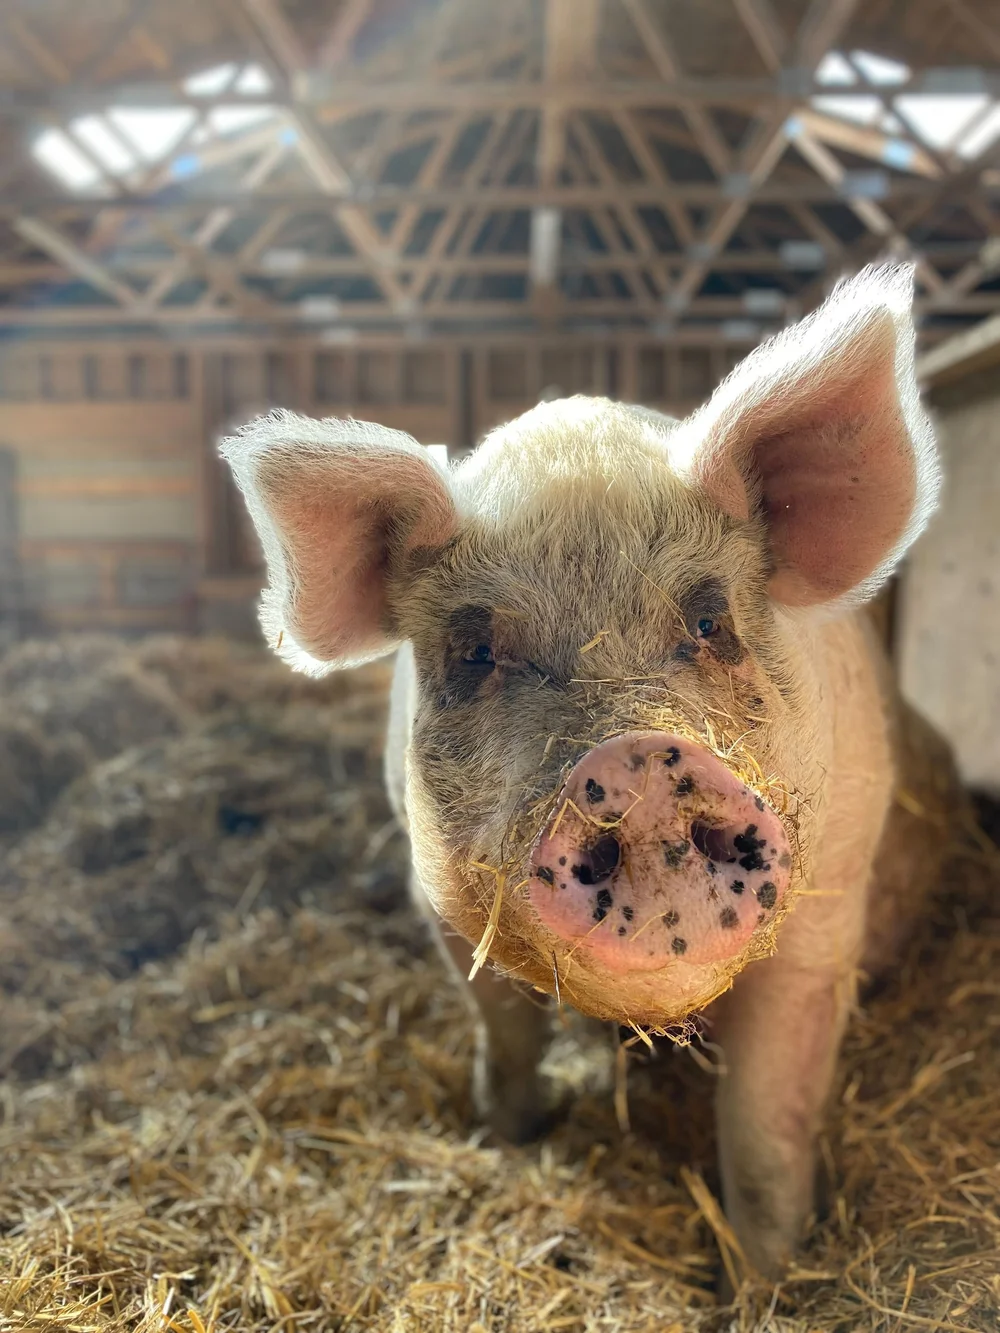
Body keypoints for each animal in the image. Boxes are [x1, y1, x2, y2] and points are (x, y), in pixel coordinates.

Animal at [220, 263, 964, 1281]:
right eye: (476, 650)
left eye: (709, 620)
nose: (640, 762)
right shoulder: (438, 901)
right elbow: (504, 1029)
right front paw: (509, 1133)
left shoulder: (829, 908)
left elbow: (765, 1124)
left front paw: (768, 1281)